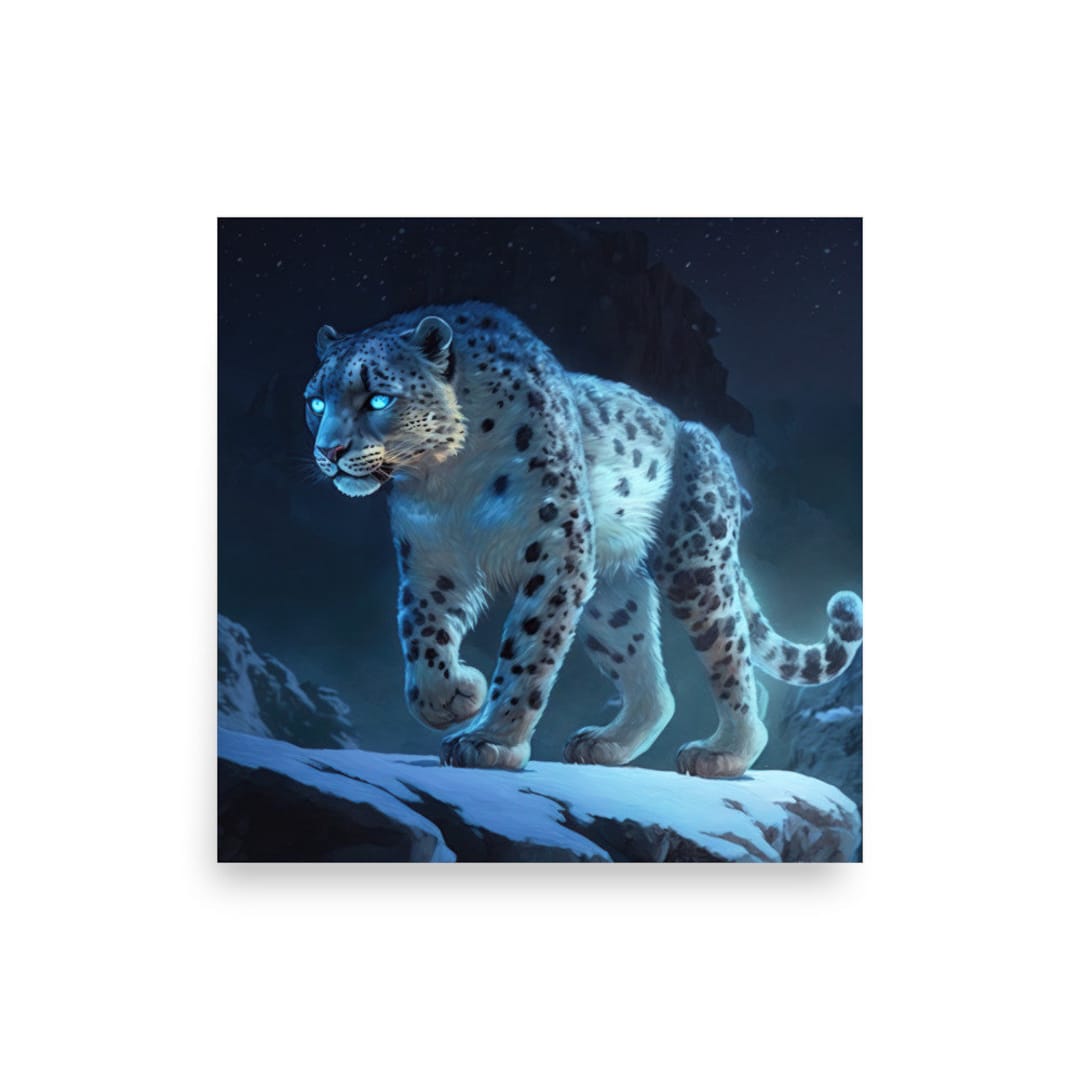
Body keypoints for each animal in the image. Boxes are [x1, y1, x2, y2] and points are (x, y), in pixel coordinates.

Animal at [304, 301, 863, 777]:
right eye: (315, 401)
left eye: (378, 398)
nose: (328, 452)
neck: (443, 479)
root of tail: (706, 442)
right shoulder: (430, 560)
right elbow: (420, 634)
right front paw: (452, 697)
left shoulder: (555, 547)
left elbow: (528, 650)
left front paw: (490, 741)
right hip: (612, 596)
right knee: (650, 679)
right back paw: (605, 744)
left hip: (694, 564)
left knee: (733, 658)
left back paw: (723, 753)